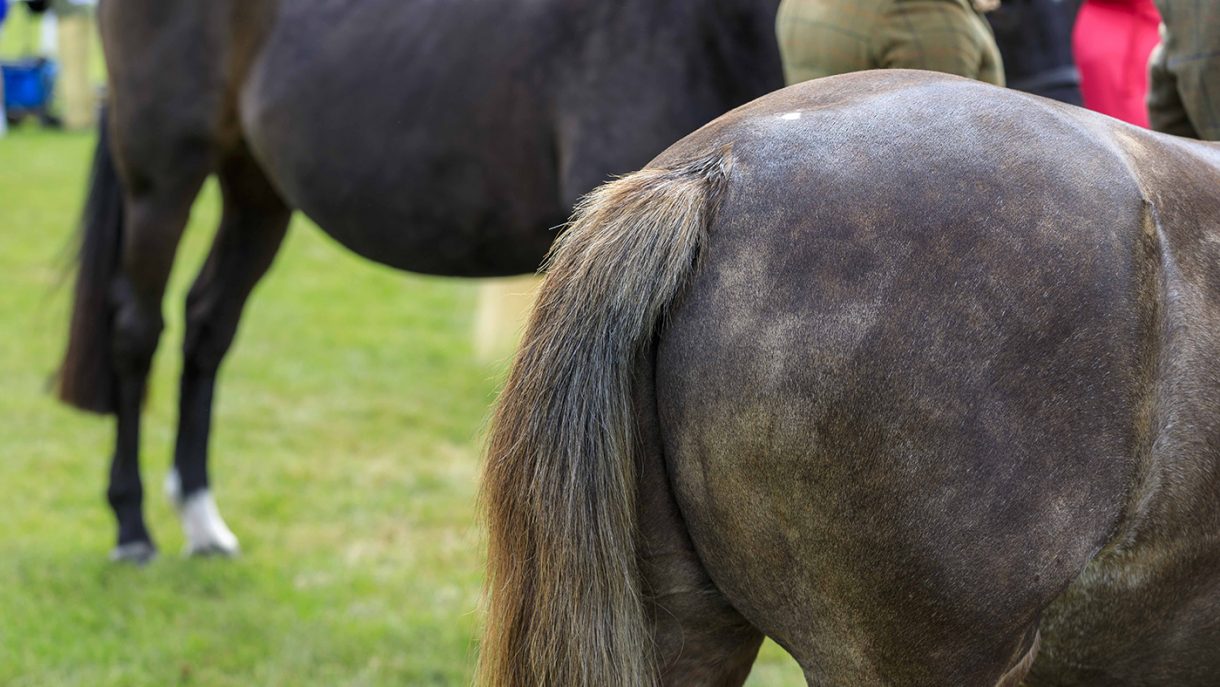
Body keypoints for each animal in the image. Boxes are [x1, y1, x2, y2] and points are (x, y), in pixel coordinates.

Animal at [54, 0, 782, 562]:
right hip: (162, 180)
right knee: (136, 331)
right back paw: (132, 527)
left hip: (256, 191)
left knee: (208, 324)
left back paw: (202, 520)